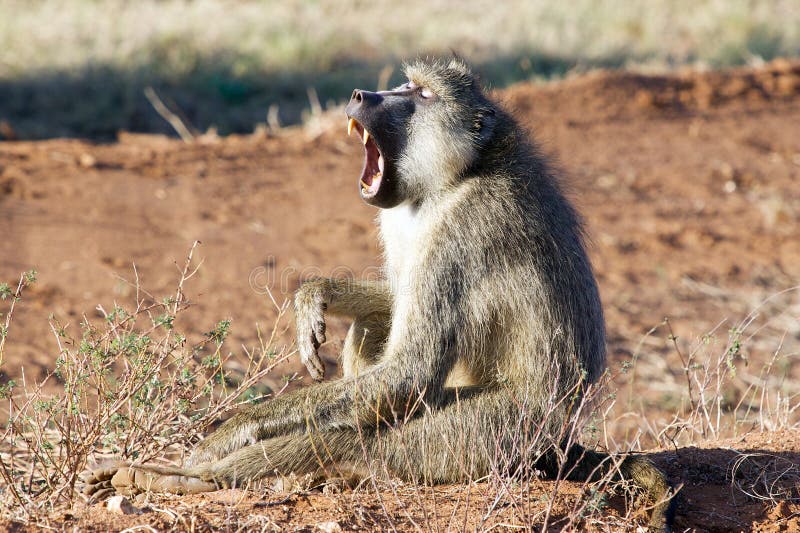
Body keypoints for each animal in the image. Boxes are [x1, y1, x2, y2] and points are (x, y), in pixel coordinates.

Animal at [80, 58, 675, 531]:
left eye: (421, 94)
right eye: (403, 84)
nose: (362, 95)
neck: (456, 178)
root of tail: (557, 438)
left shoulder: (469, 225)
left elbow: (411, 367)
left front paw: (228, 433)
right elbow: (395, 301)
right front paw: (315, 297)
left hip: (496, 435)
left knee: (352, 439)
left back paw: (183, 481)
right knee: (369, 341)